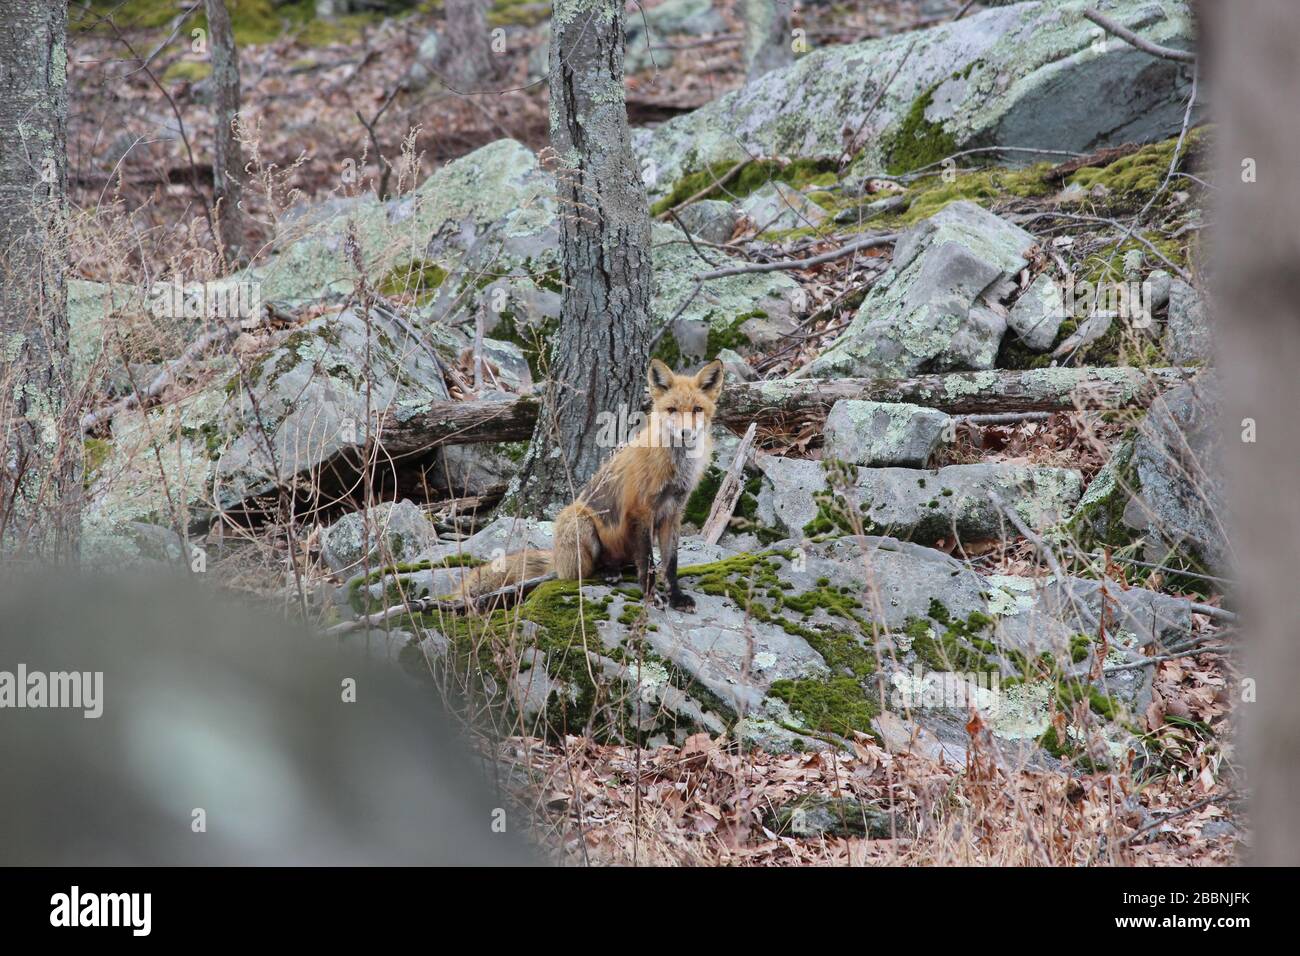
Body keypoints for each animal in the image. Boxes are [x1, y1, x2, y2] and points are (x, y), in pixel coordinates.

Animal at [467, 359, 725, 611]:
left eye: (697, 410)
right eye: (672, 410)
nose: (685, 433)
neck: (674, 468)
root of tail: (558, 559)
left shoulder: (673, 513)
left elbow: (670, 564)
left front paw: (677, 597)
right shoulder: (641, 511)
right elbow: (648, 563)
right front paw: (652, 596)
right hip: (580, 522)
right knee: (587, 571)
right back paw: (608, 571)